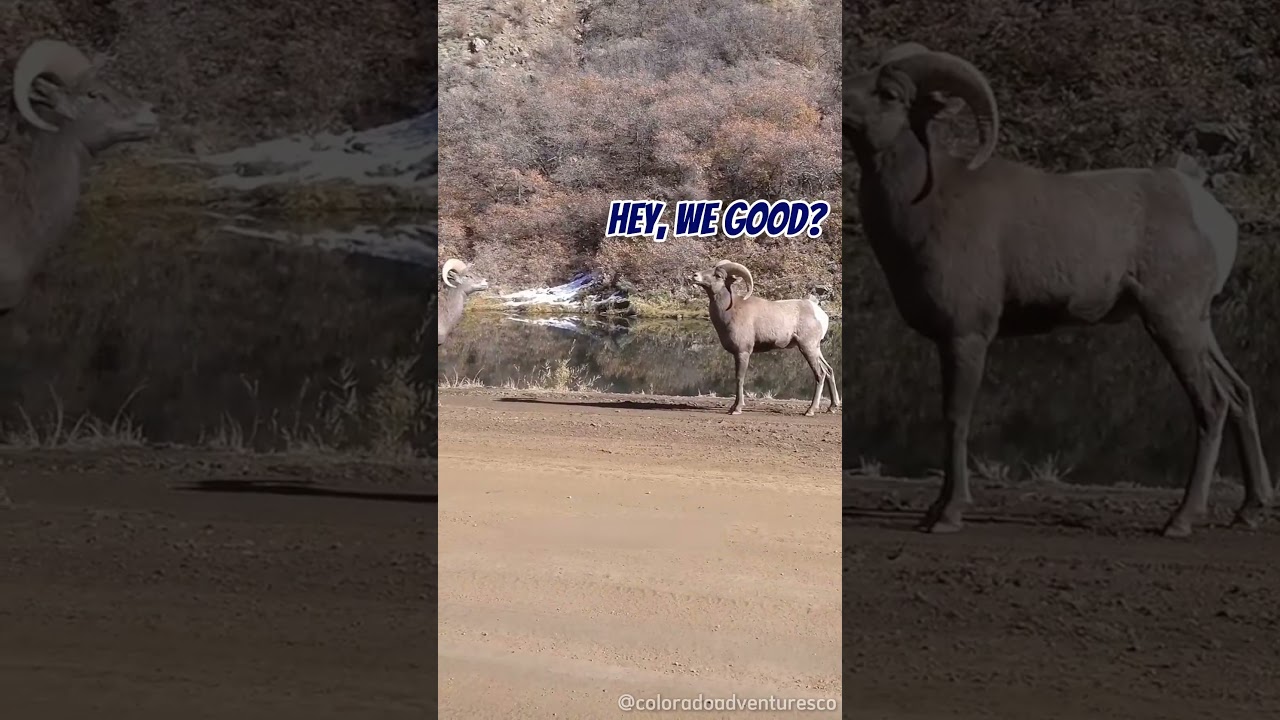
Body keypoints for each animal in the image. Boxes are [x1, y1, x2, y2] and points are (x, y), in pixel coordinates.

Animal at [691, 260, 841, 417]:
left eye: (718, 275)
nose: (694, 275)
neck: (730, 310)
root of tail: (821, 315)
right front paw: (733, 407)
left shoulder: (743, 352)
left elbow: (739, 378)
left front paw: (737, 409)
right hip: (815, 349)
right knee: (829, 371)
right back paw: (832, 407)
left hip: (807, 348)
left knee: (820, 374)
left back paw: (810, 410)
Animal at [846, 42, 1268, 537]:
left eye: (889, 94)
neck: (925, 204)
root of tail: (1214, 218)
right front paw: (934, 510)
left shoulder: (967, 337)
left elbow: (956, 420)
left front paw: (948, 515)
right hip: (1198, 327)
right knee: (1238, 394)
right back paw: (1250, 509)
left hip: (1172, 323)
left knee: (1212, 405)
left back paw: (1181, 520)